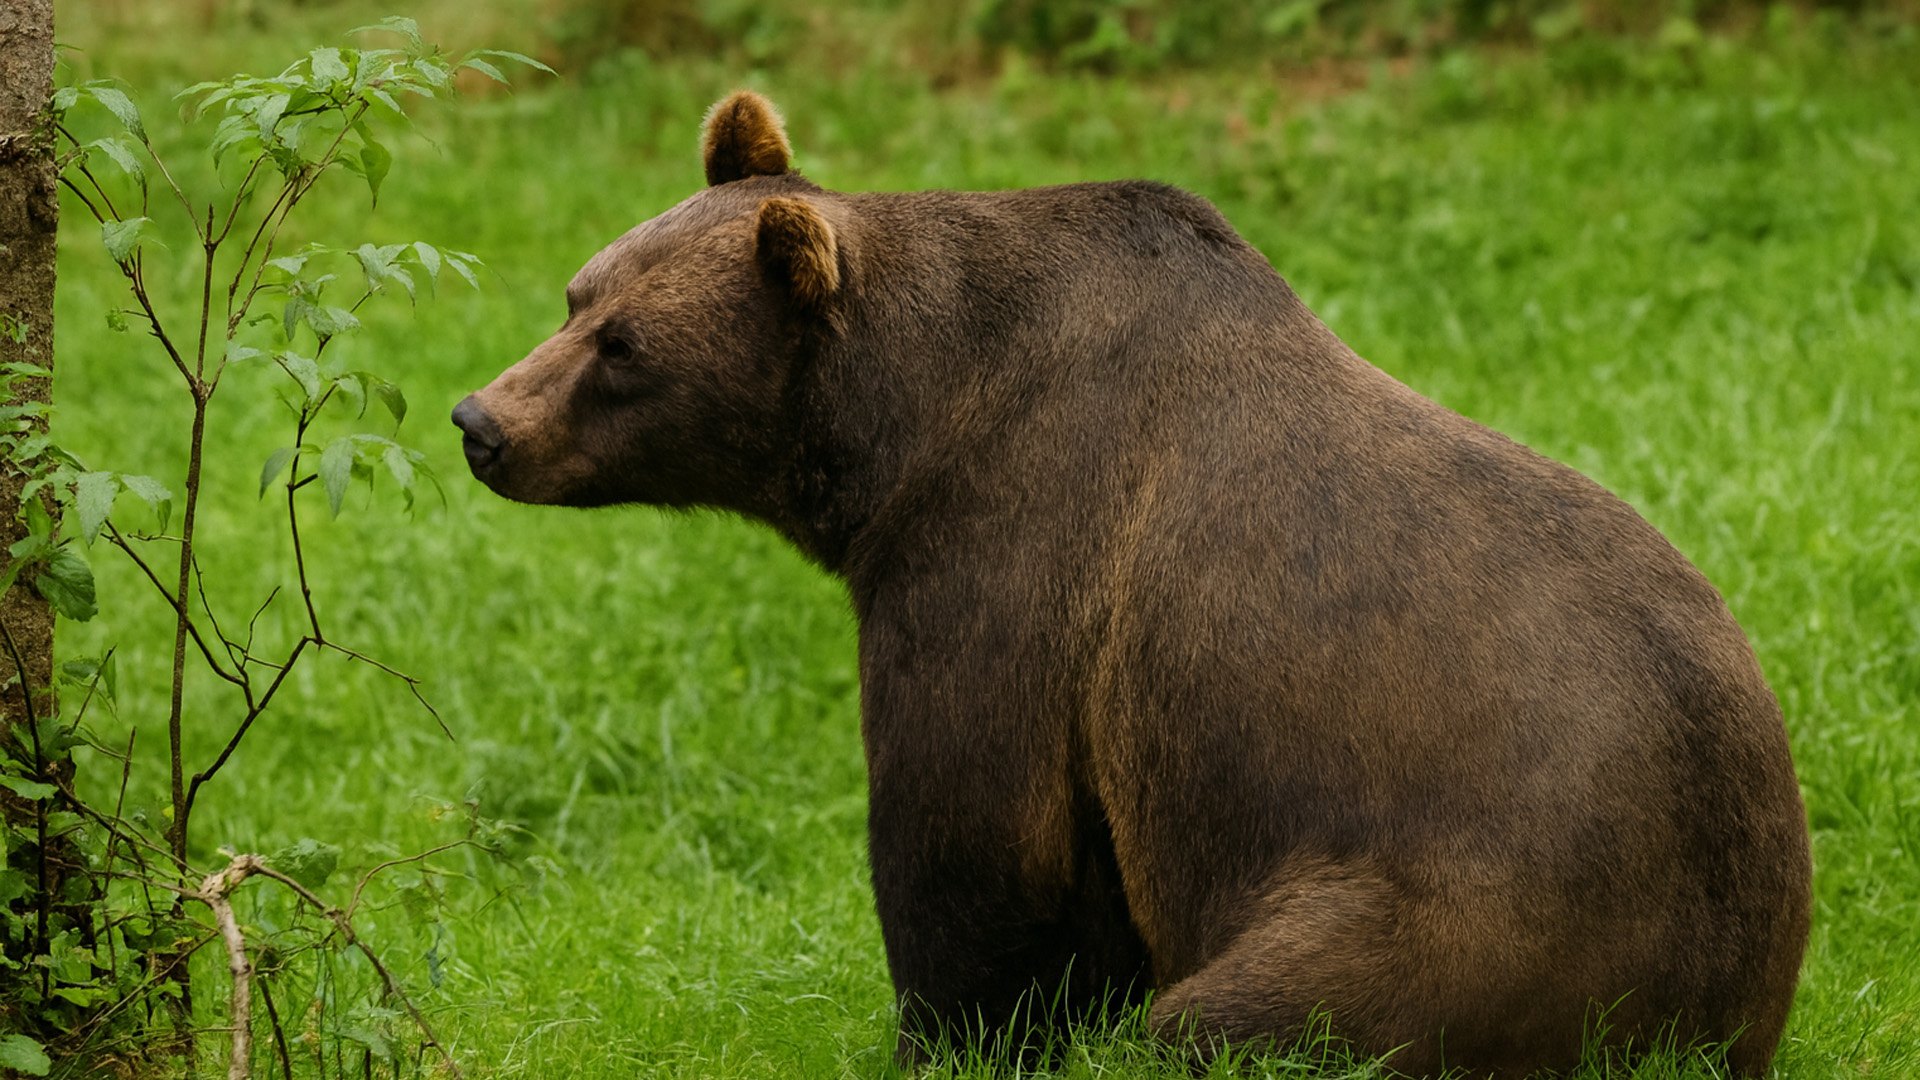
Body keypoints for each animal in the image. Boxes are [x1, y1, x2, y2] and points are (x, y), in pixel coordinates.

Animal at [452, 91, 1811, 1078]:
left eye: (624, 350)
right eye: (578, 292)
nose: (482, 422)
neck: (903, 431)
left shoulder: (1008, 557)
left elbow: (972, 840)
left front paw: (947, 1036)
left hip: (1474, 916)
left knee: (1246, 1020)